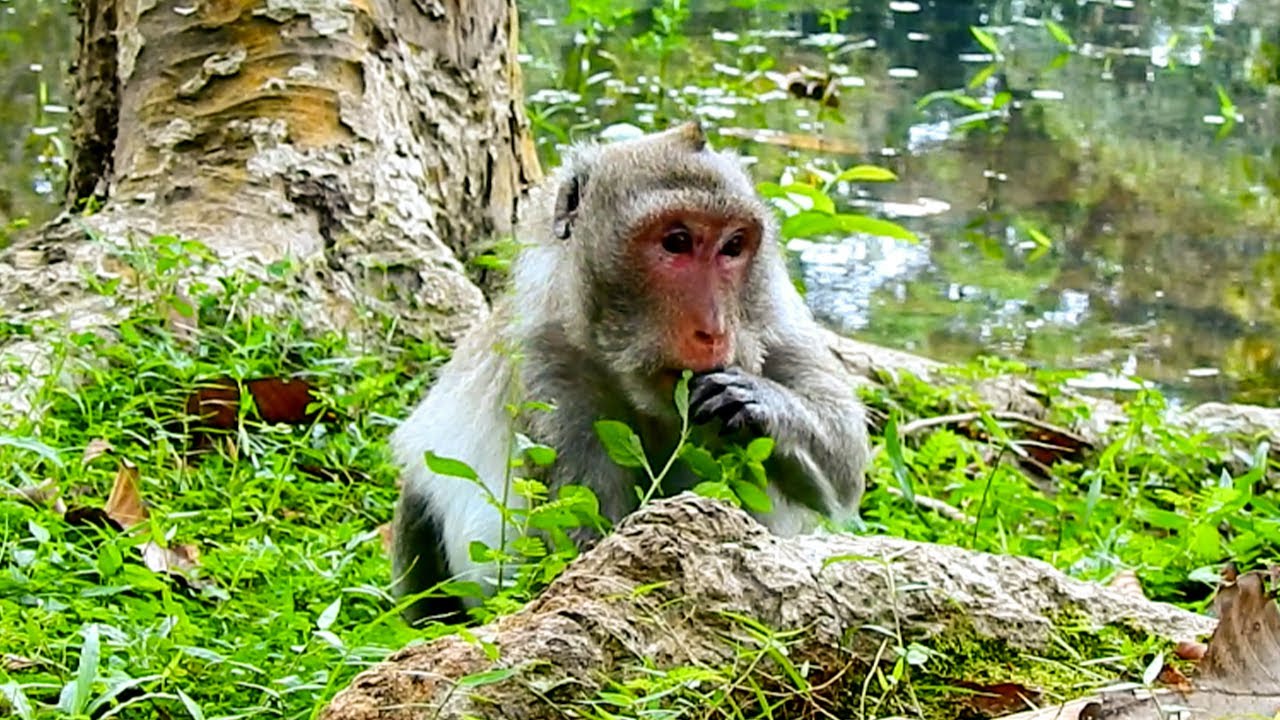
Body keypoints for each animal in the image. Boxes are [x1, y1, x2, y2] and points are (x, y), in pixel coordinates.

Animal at [389, 122, 869, 625]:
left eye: (733, 246)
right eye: (676, 242)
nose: (715, 330)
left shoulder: (772, 313)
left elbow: (846, 464)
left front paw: (758, 401)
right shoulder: (549, 372)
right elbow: (585, 548)